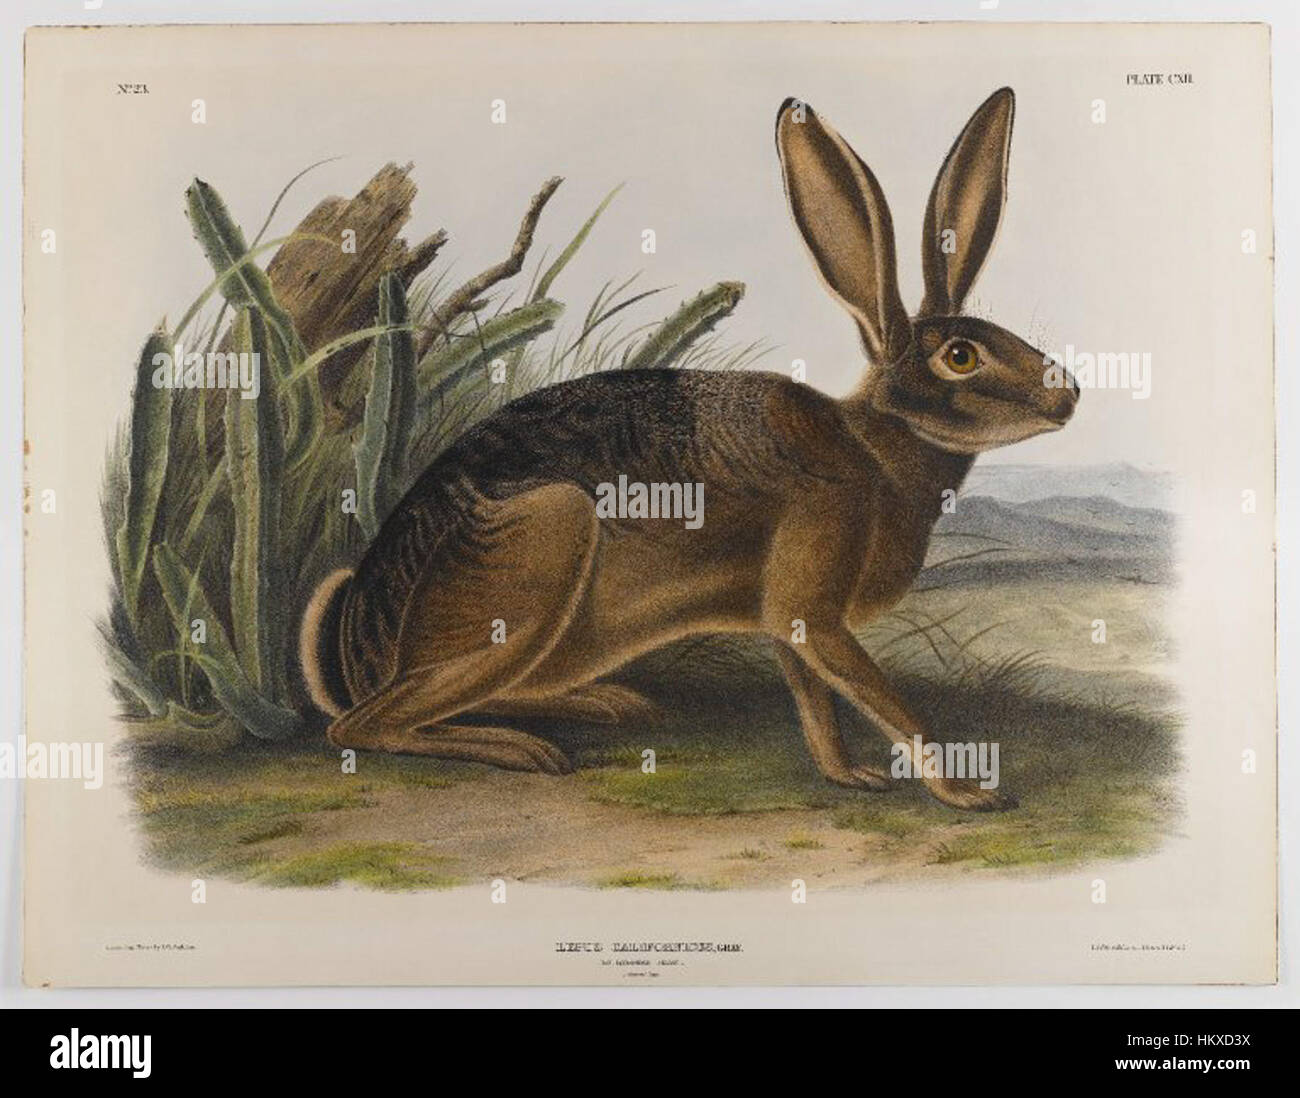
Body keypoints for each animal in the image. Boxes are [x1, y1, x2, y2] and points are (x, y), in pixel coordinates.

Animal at [299, 87, 1077, 811]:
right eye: (961, 356)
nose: (1067, 394)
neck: (876, 444)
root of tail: (359, 636)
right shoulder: (814, 583)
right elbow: (881, 696)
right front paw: (967, 793)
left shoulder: (789, 620)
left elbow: (813, 699)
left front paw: (846, 774)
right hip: (543, 542)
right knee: (362, 727)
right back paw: (520, 749)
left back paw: (604, 704)